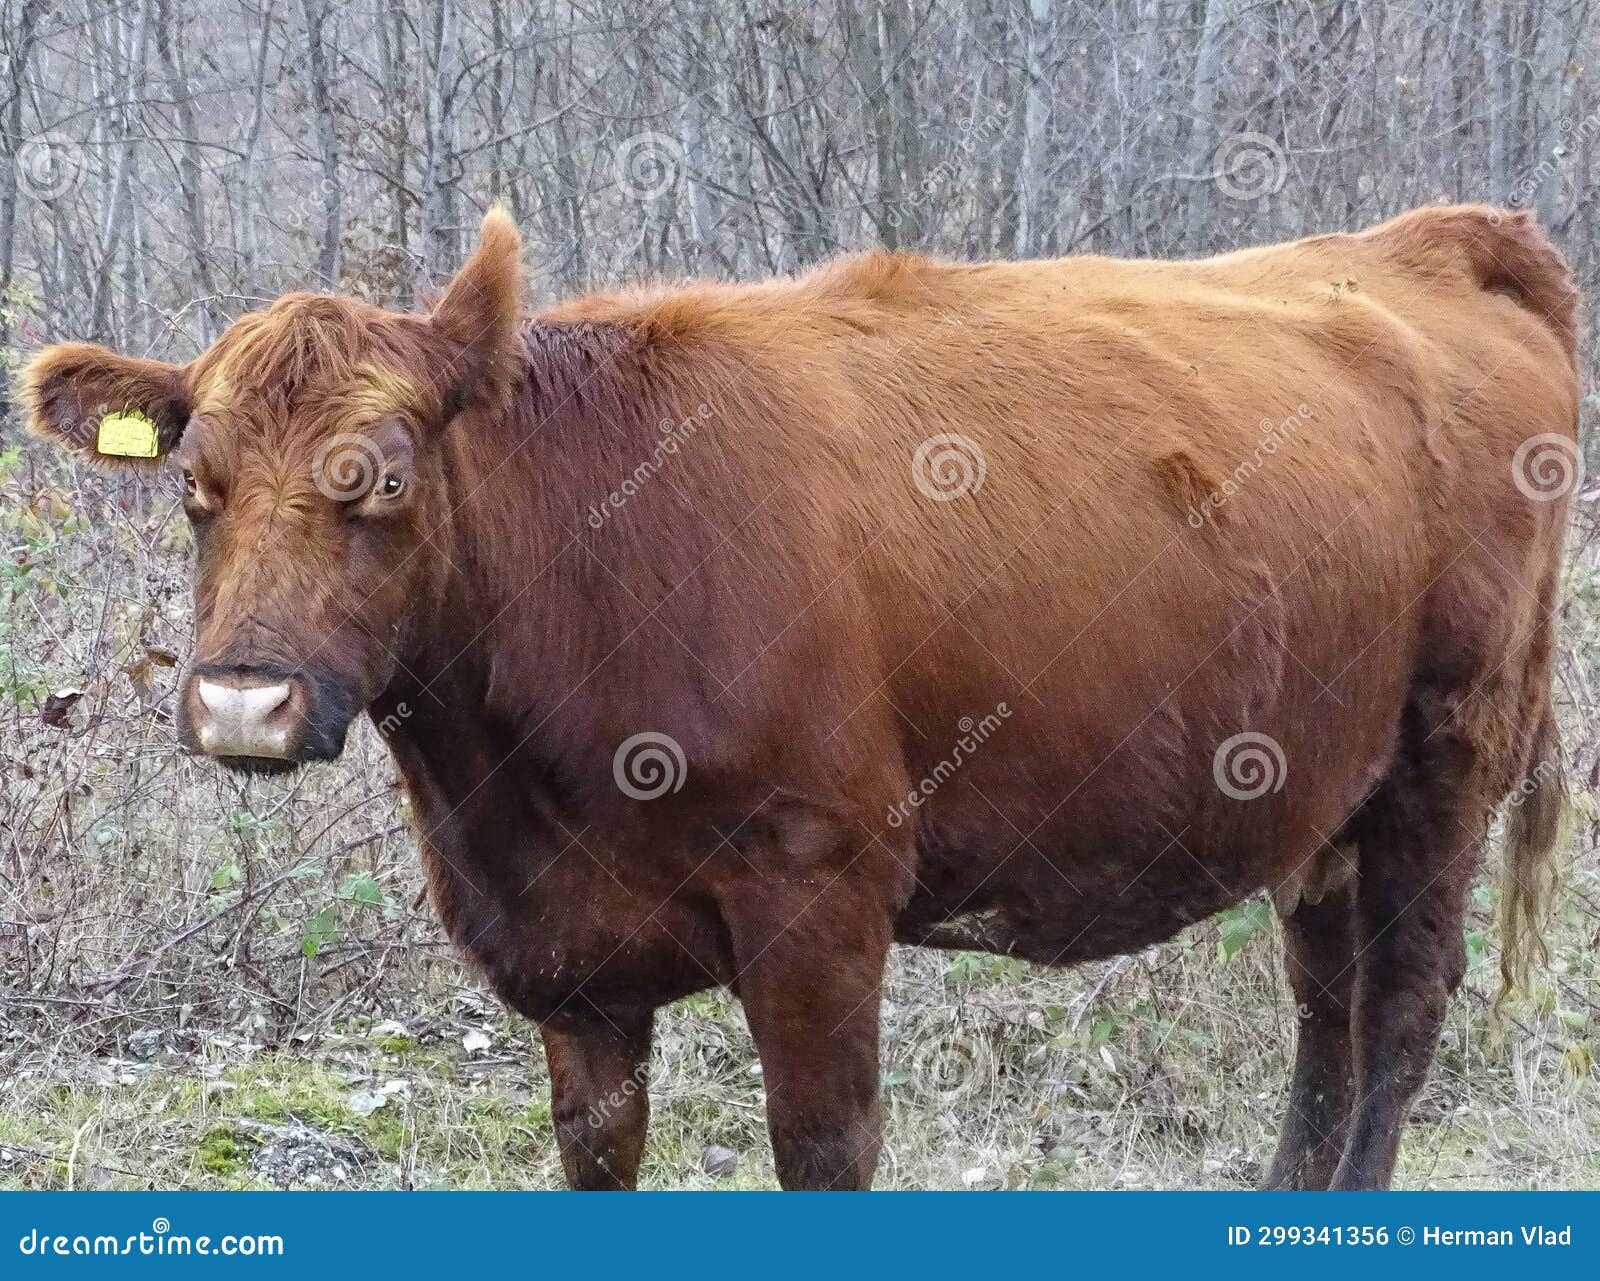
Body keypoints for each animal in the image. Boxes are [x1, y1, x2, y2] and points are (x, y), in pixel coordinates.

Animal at [22, 204, 1575, 1190]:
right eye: (193, 485)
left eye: (382, 480)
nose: (243, 705)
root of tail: (1428, 239)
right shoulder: (568, 964)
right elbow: (598, 1150)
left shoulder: (819, 898)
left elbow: (822, 1149)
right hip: (1316, 781)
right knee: (1328, 1004)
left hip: (1451, 747)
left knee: (1402, 1004)